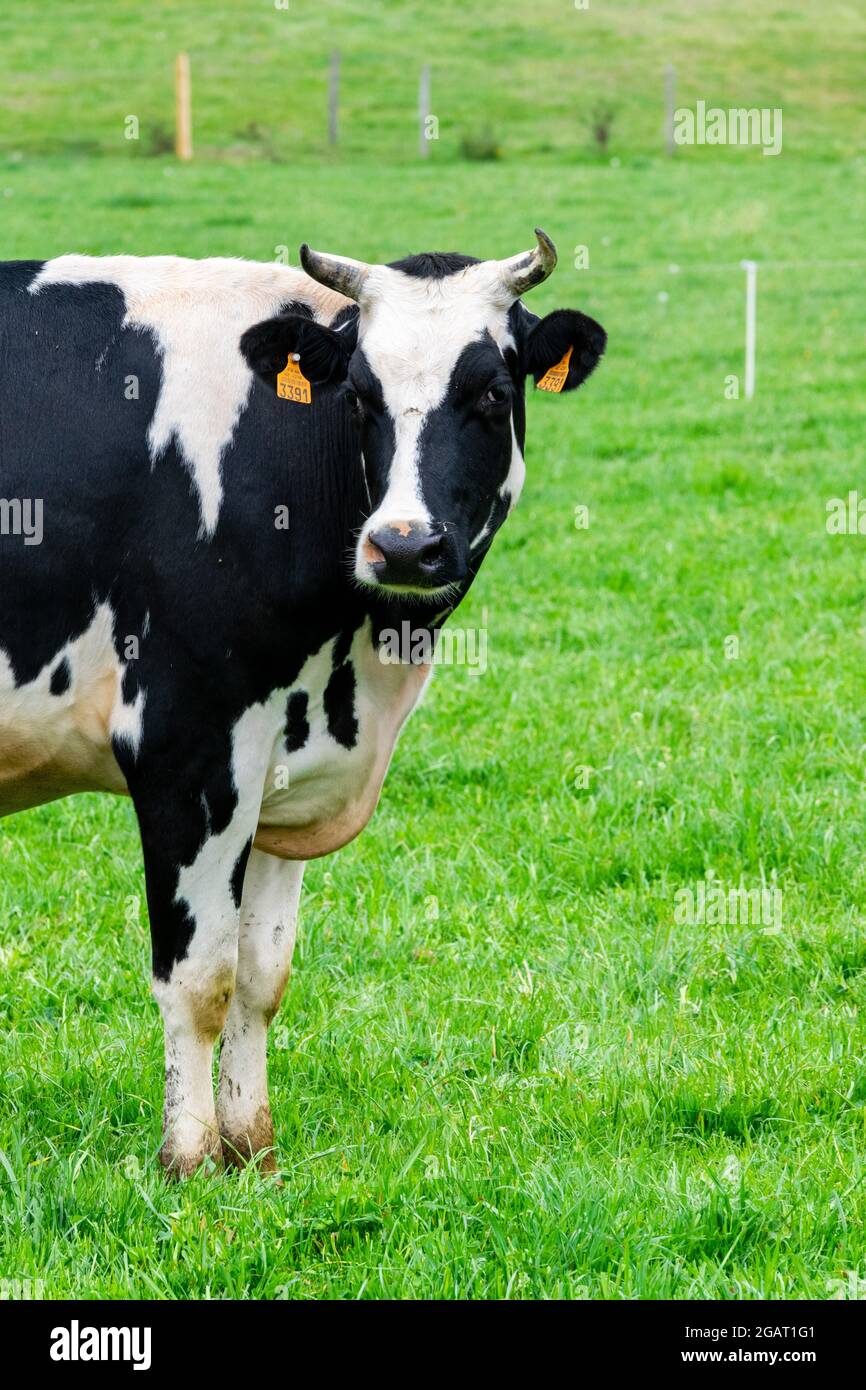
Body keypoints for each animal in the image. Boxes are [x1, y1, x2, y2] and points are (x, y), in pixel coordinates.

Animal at [0, 231, 605, 1175]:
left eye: (492, 393)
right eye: (360, 395)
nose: (404, 546)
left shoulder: (280, 767)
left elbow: (261, 976)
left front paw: (252, 1151)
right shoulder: (187, 747)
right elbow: (199, 978)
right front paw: (187, 1160)